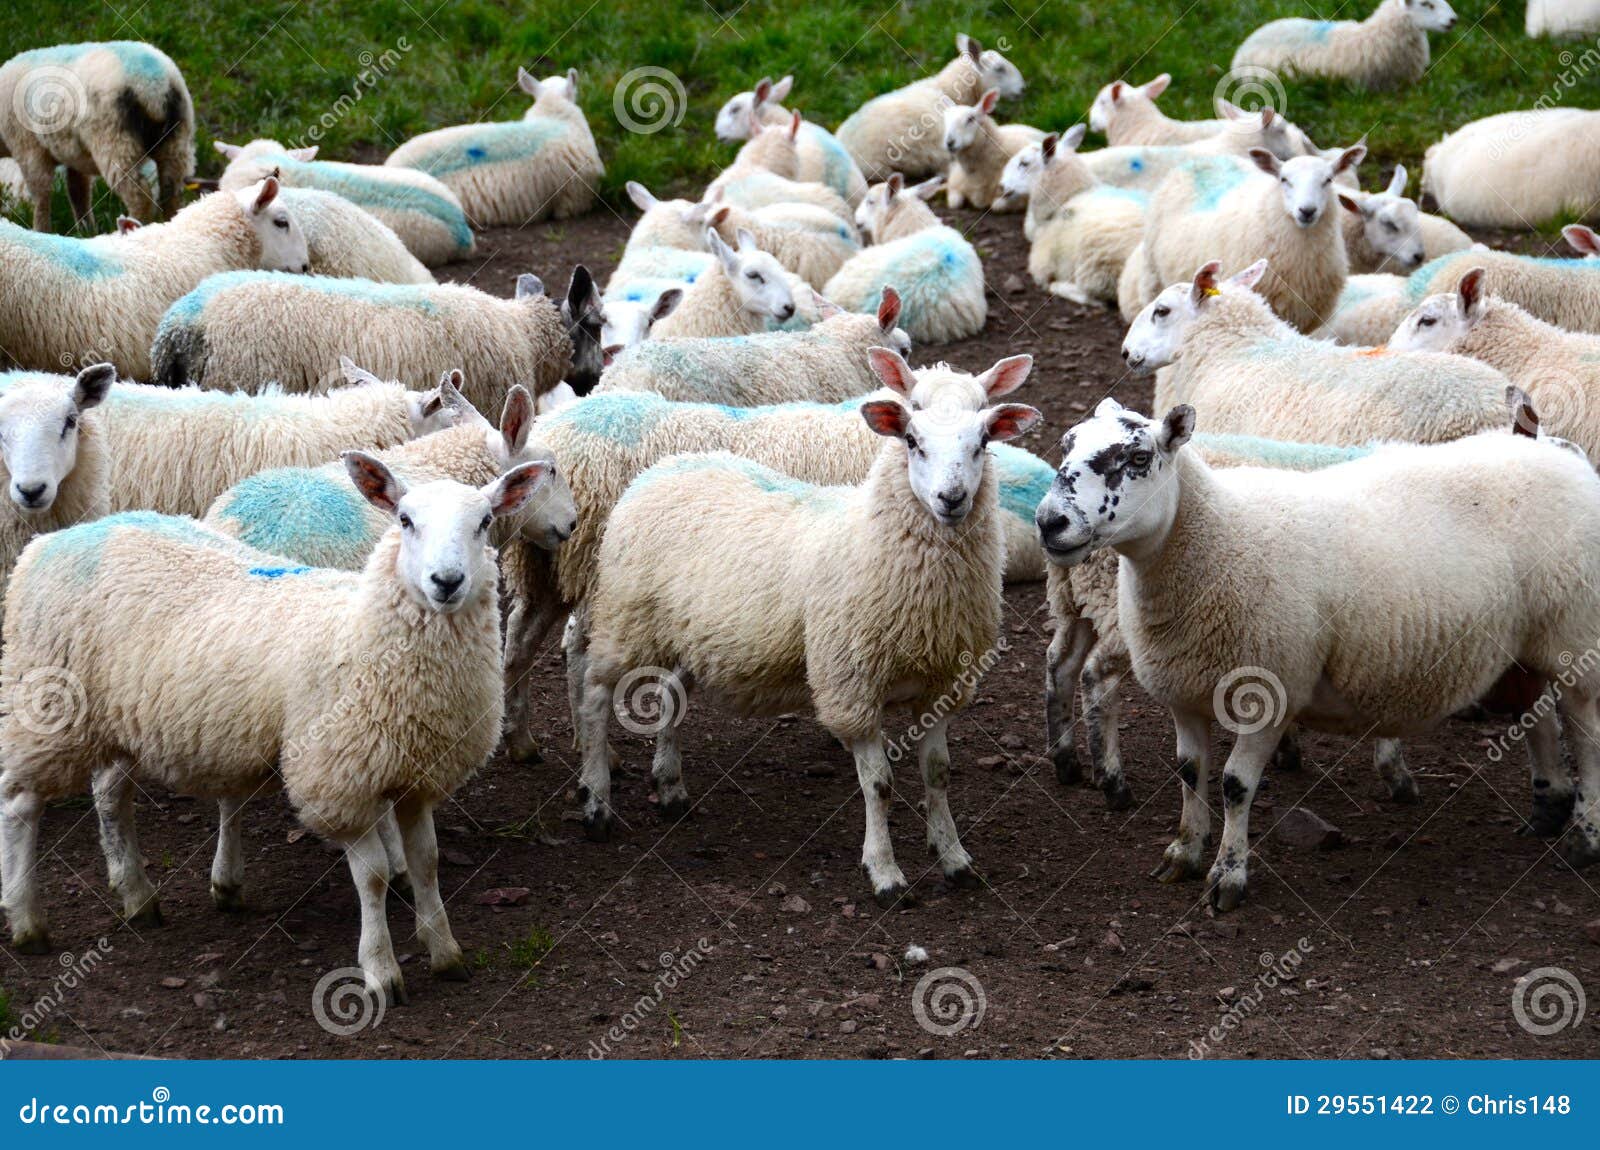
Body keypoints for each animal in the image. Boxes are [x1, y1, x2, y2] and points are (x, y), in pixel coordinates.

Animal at [0, 41, 193, 230]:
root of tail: (152, 84)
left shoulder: (29, 149)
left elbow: (41, 197)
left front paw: (41, 230)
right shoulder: (74, 156)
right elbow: (78, 191)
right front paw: (86, 229)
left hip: (116, 142)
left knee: (140, 196)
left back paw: (136, 225)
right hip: (176, 141)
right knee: (172, 190)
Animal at [0, 454, 554, 1003]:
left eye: (483, 521)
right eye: (404, 520)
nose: (447, 581)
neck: (360, 634)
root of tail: (57, 539)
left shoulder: (415, 774)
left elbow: (428, 861)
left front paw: (445, 951)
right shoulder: (339, 778)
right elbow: (373, 877)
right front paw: (381, 969)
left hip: (119, 717)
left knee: (112, 794)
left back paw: (138, 897)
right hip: (48, 704)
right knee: (20, 802)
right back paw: (27, 921)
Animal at [500, 351, 1042, 763]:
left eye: (983, 414)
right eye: (916, 407)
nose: (952, 495)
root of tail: (555, 429)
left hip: (544, 563)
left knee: (521, 638)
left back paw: (525, 741)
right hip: (603, 570)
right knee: (577, 646)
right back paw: (593, 750)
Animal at [572, 373, 1041, 904]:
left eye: (982, 442)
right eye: (912, 441)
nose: (952, 498)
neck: (871, 540)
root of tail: (660, 469)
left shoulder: (941, 684)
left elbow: (938, 773)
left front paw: (954, 857)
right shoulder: (850, 684)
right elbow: (879, 784)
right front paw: (884, 872)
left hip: (693, 634)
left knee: (672, 693)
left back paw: (670, 789)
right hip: (627, 616)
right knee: (594, 693)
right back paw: (596, 802)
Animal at [1041, 432, 1416, 812]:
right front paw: (1397, 774)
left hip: (1076, 598)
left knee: (1060, 662)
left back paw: (1066, 762)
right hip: (1118, 611)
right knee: (1096, 675)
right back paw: (1113, 782)